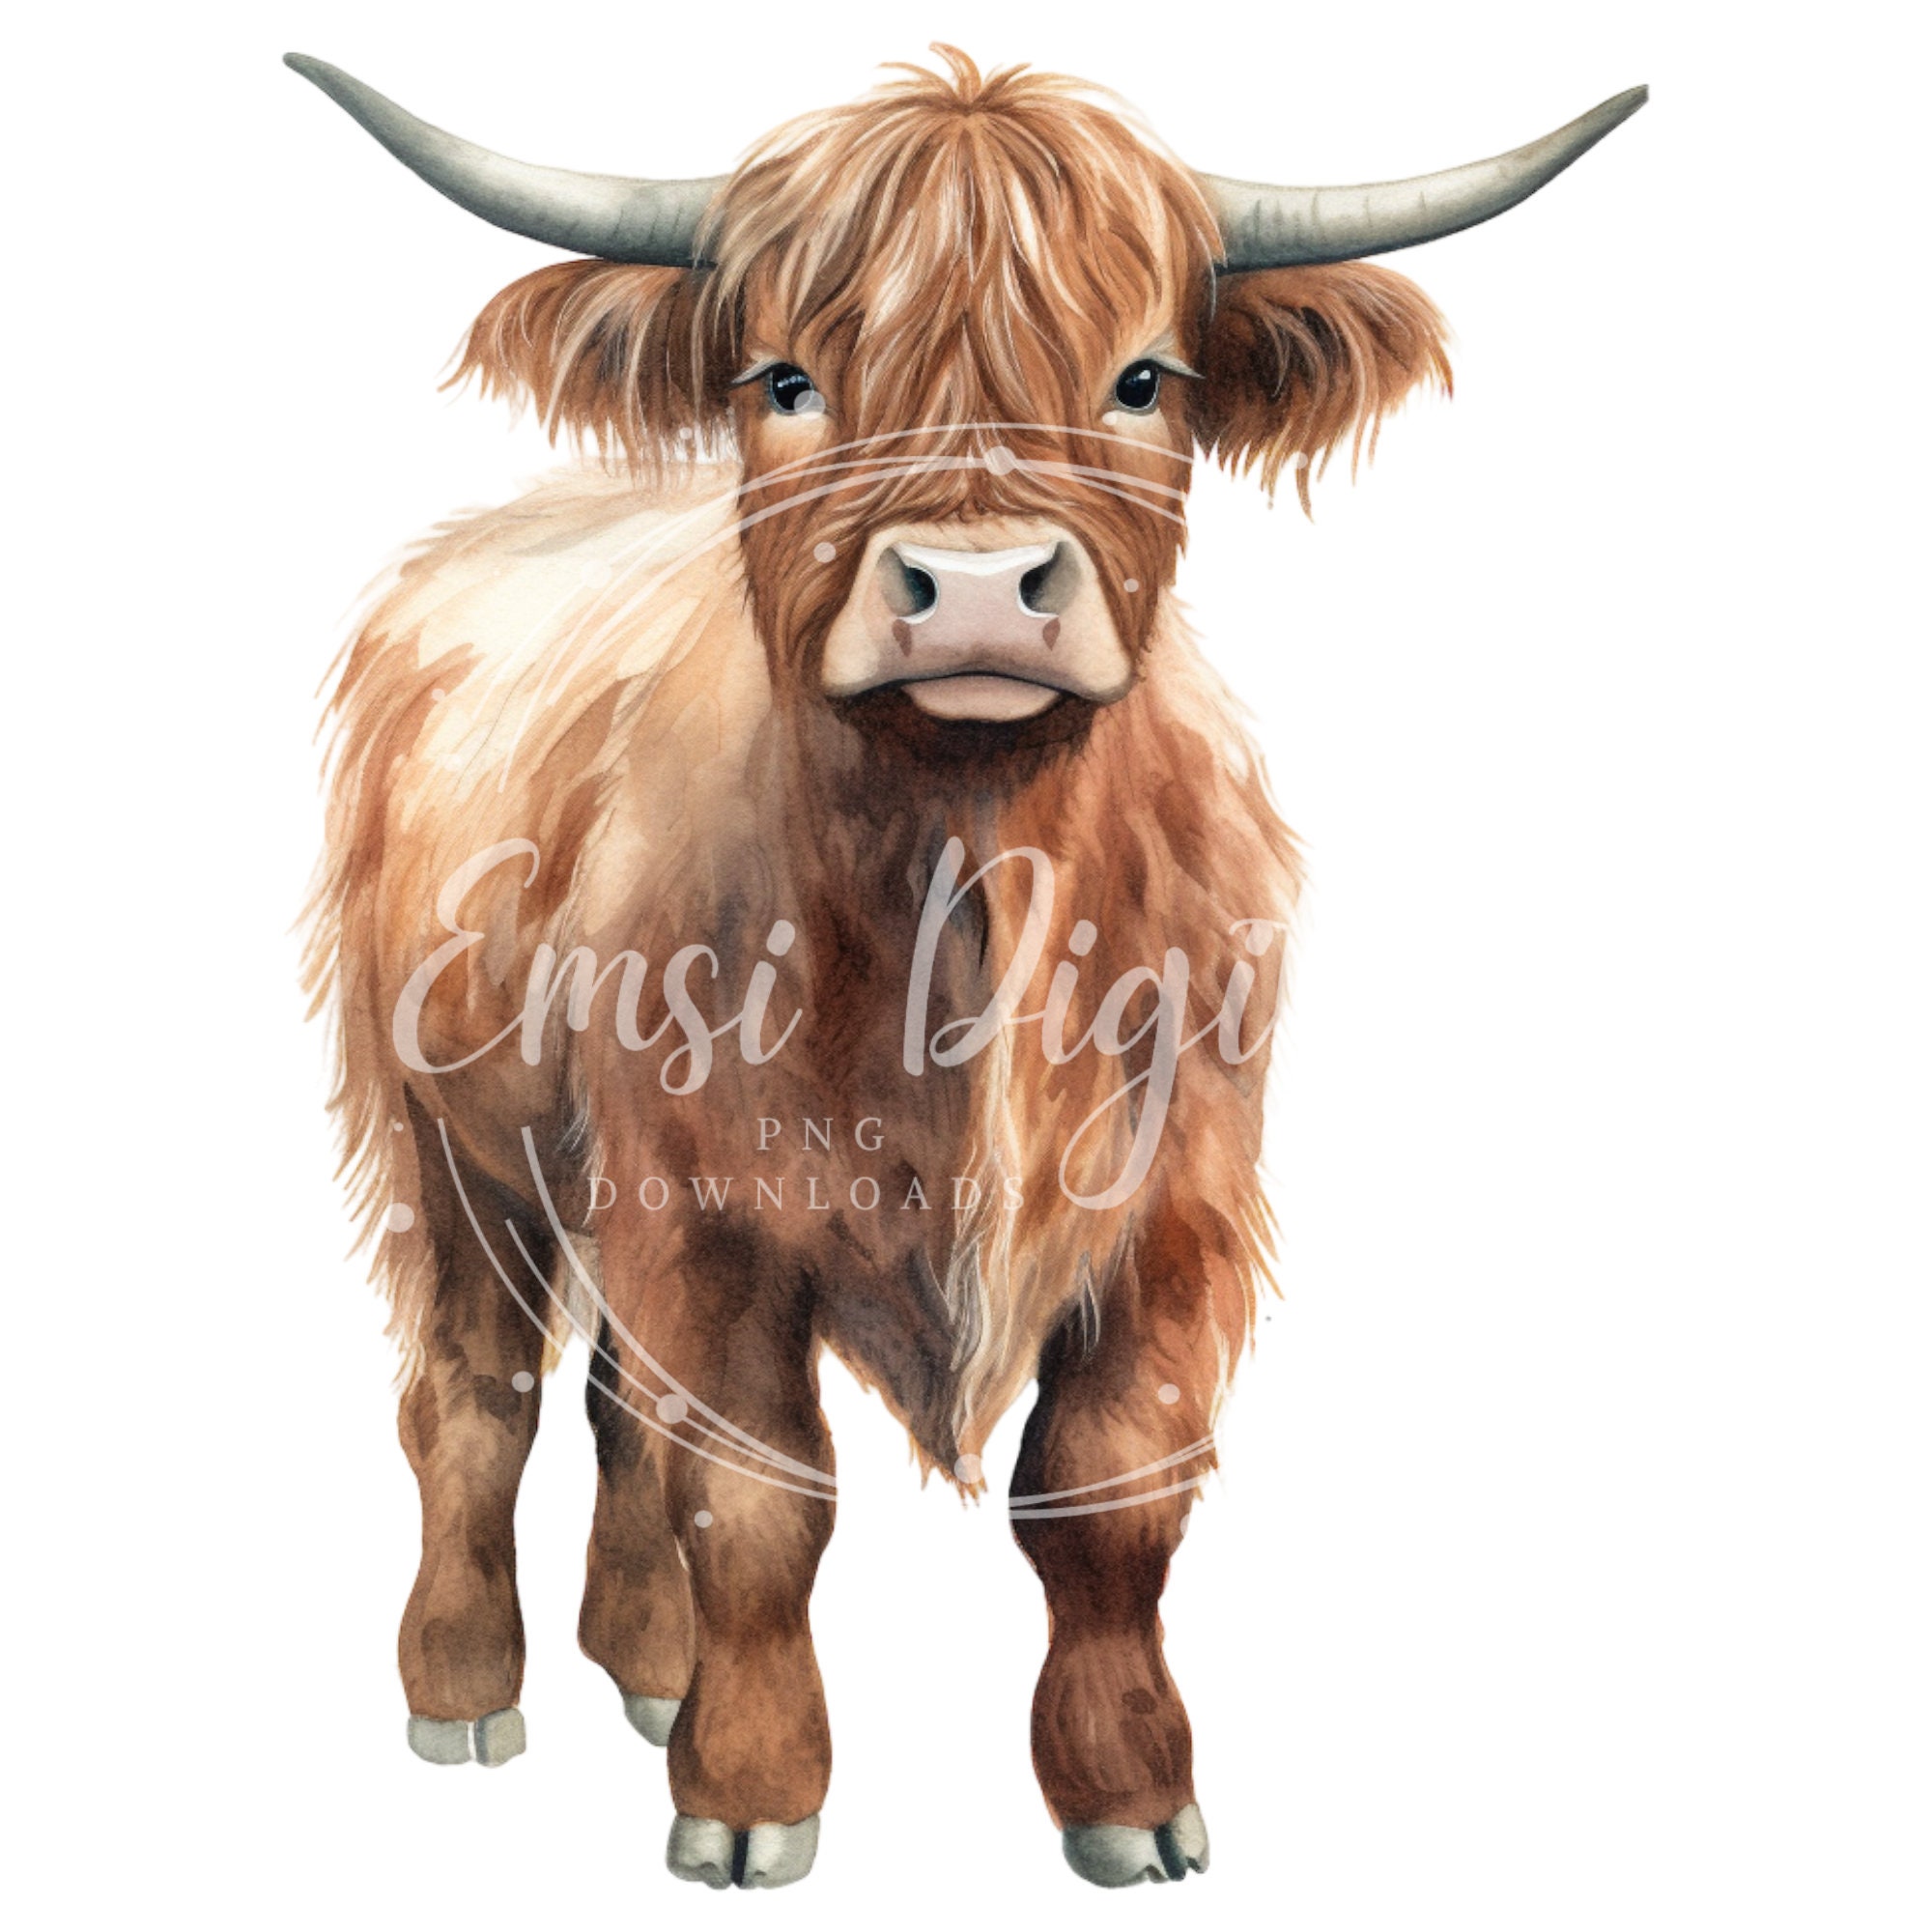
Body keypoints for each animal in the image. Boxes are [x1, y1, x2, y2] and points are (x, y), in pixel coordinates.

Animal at [292, 47, 1643, 1891]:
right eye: (786, 378)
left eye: (1142, 377)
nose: (983, 586)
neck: (966, 894)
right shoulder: (705, 1209)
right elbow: (761, 1497)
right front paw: (750, 1795)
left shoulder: (1178, 1204)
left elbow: (1108, 1493)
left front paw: (1129, 1793)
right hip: (450, 1134)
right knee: (474, 1387)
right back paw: (468, 1688)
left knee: (619, 1406)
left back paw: (647, 1668)